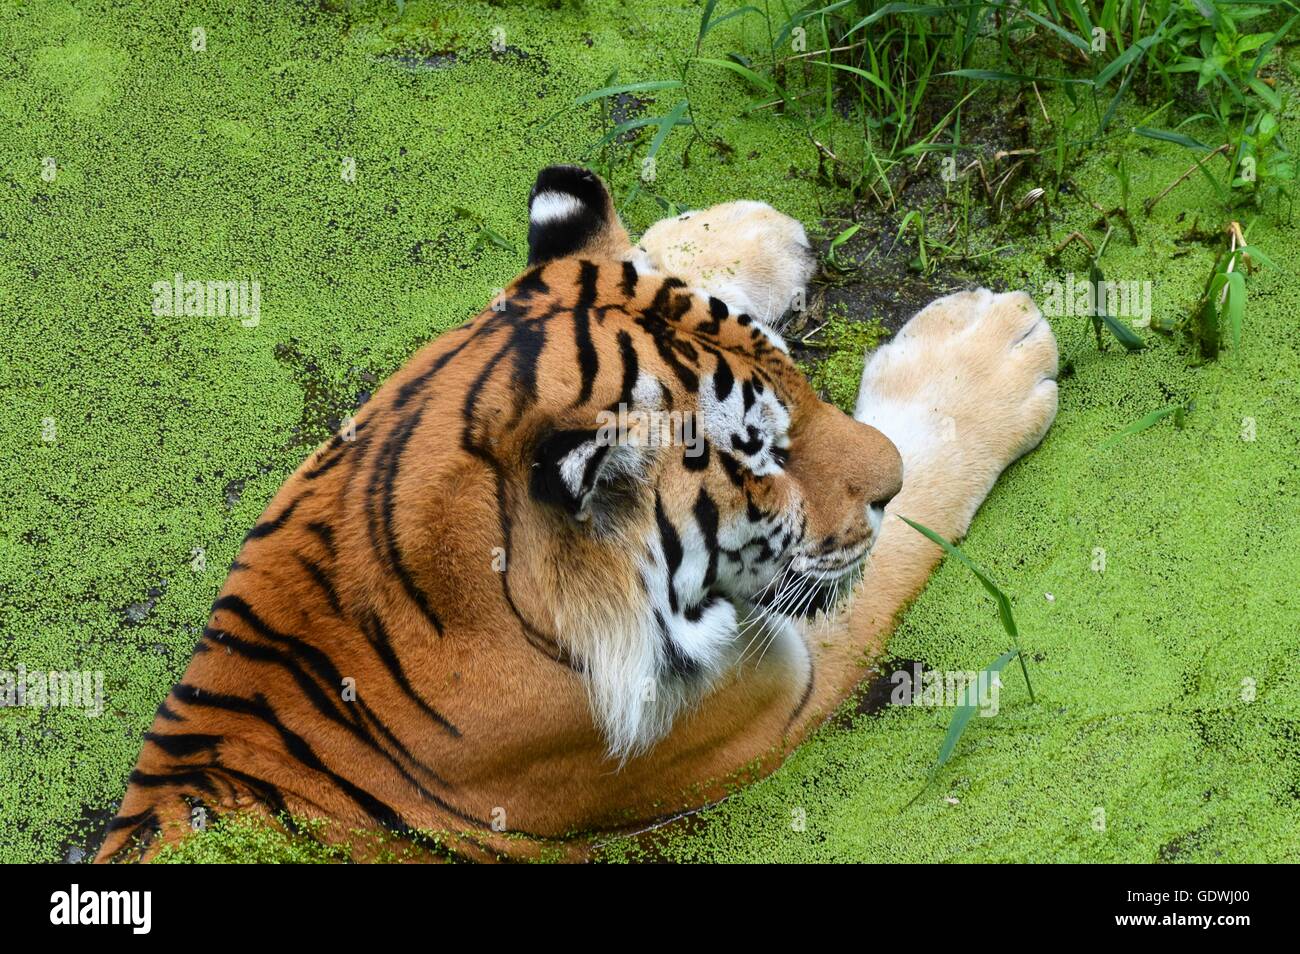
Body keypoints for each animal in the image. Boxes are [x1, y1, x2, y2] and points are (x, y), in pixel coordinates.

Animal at [96, 165, 1058, 862]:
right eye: (758, 453)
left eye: (796, 376)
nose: (880, 482)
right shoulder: (771, 683)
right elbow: (909, 523)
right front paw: (991, 352)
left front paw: (747, 231)